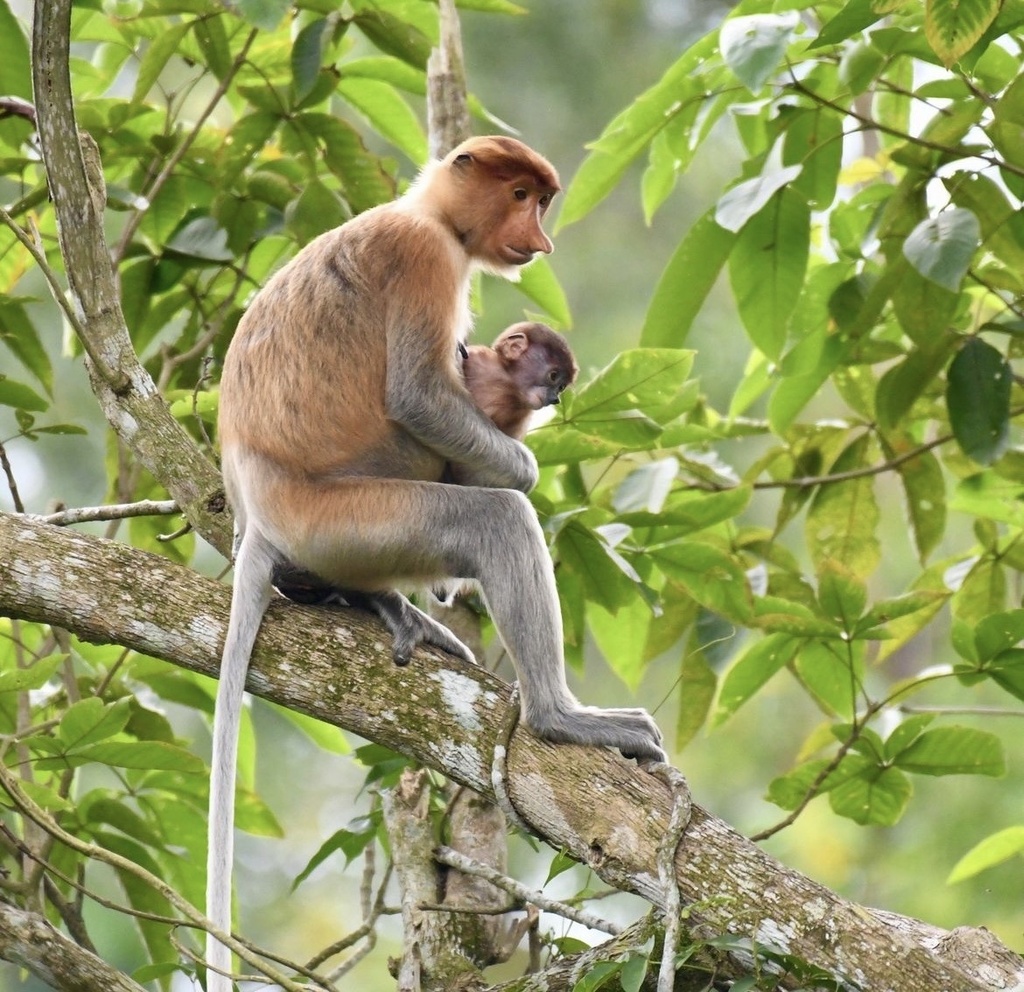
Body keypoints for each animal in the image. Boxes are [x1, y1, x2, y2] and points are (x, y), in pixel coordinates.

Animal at [207, 135, 665, 992]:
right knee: (496, 520)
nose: (539, 240)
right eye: (521, 195)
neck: (429, 216)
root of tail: (260, 512)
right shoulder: (423, 259)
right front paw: (522, 467)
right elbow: (420, 395)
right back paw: (560, 717)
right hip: (355, 519)